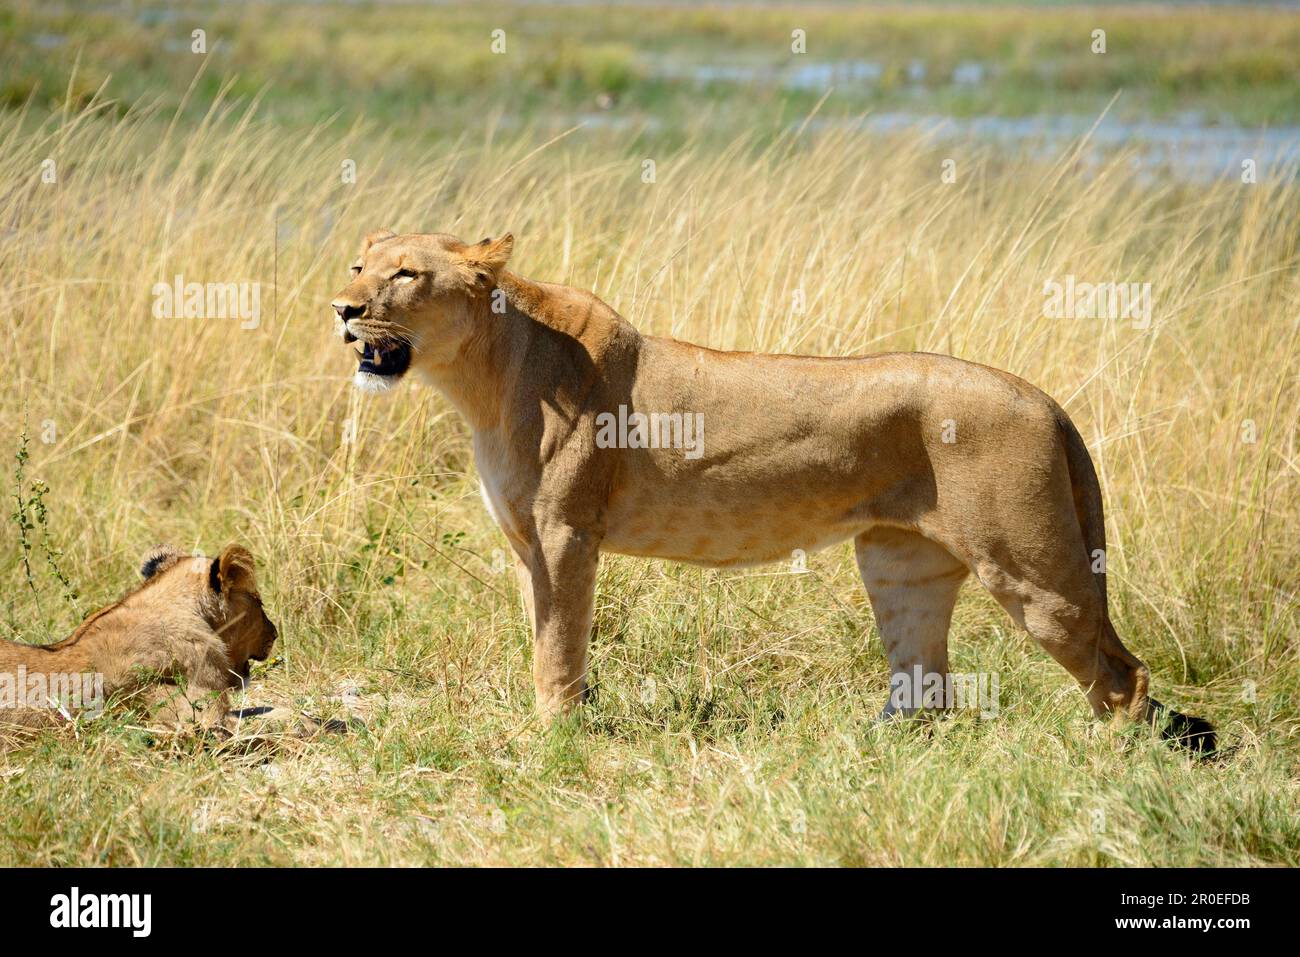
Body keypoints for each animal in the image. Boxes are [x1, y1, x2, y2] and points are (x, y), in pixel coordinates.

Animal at [330, 229, 1215, 753]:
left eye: (405, 274)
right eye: (358, 265)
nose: (341, 308)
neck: (479, 375)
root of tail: (1044, 398)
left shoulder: (564, 536)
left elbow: (559, 647)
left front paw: (554, 739)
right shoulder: (527, 545)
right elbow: (541, 637)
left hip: (1032, 570)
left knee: (1121, 674)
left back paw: (1109, 761)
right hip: (900, 563)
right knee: (928, 686)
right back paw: (872, 747)